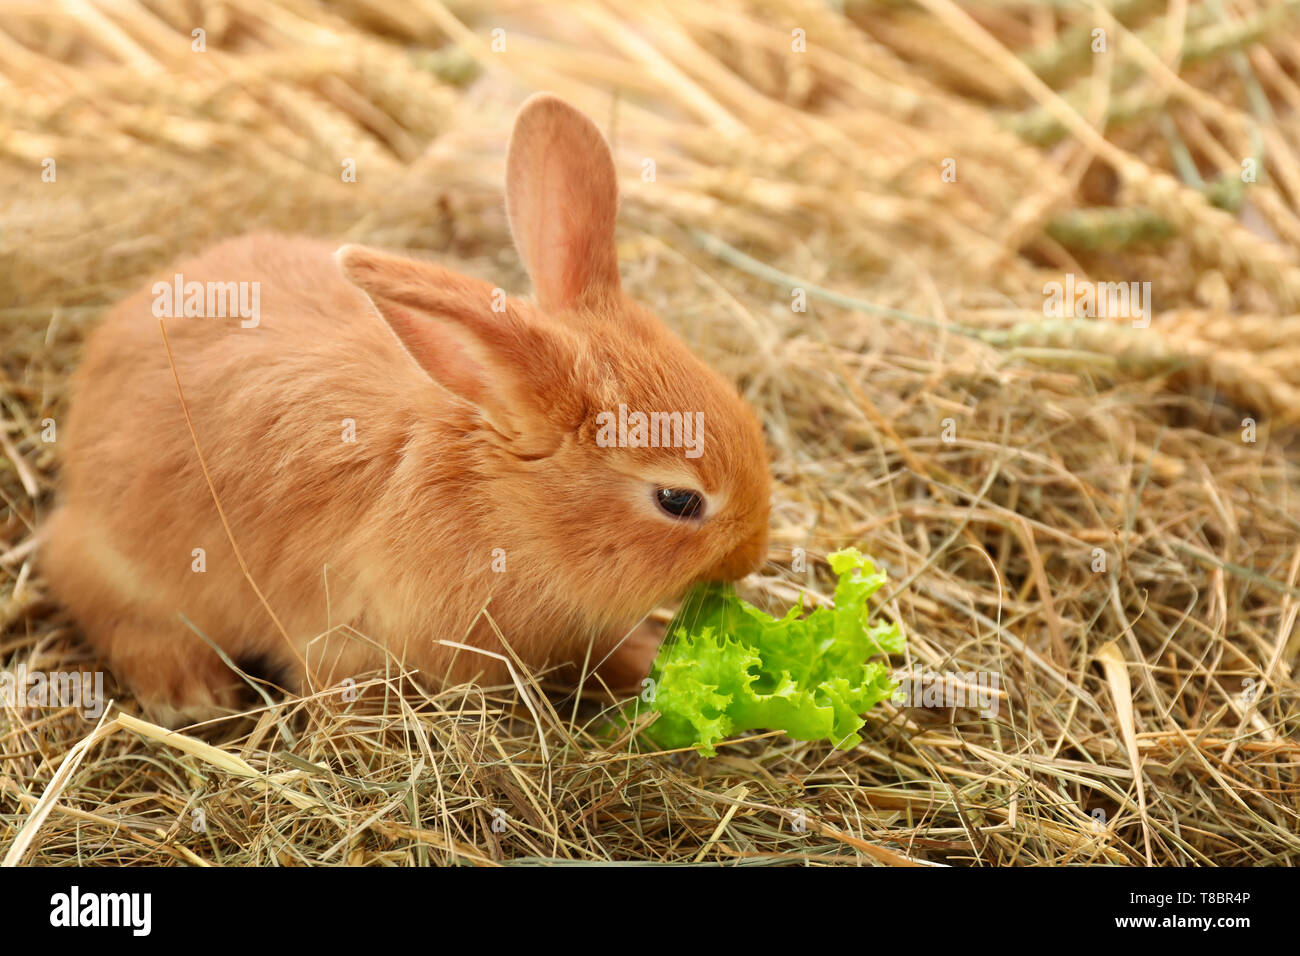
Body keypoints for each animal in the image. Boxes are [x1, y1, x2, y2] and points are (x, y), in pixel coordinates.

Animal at [41, 93, 771, 727]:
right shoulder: (346, 639)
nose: (753, 555)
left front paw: (646, 664)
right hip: (128, 568)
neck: (507, 509)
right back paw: (189, 695)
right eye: (678, 501)